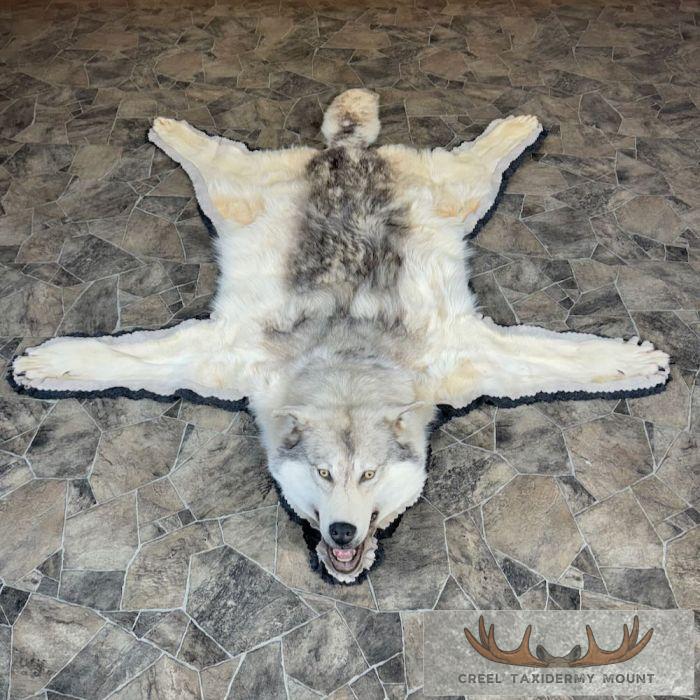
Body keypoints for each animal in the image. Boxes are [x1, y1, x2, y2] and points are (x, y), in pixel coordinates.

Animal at [11, 89, 670, 583]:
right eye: (324, 475)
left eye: (369, 475)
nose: (343, 532)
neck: (349, 361)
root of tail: (347, 153)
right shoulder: (224, 357)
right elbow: (115, 356)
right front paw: (48, 365)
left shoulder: (466, 359)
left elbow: (561, 357)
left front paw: (639, 364)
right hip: (234, 199)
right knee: (215, 156)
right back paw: (174, 132)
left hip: (458, 198)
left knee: (476, 162)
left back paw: (515, 129)